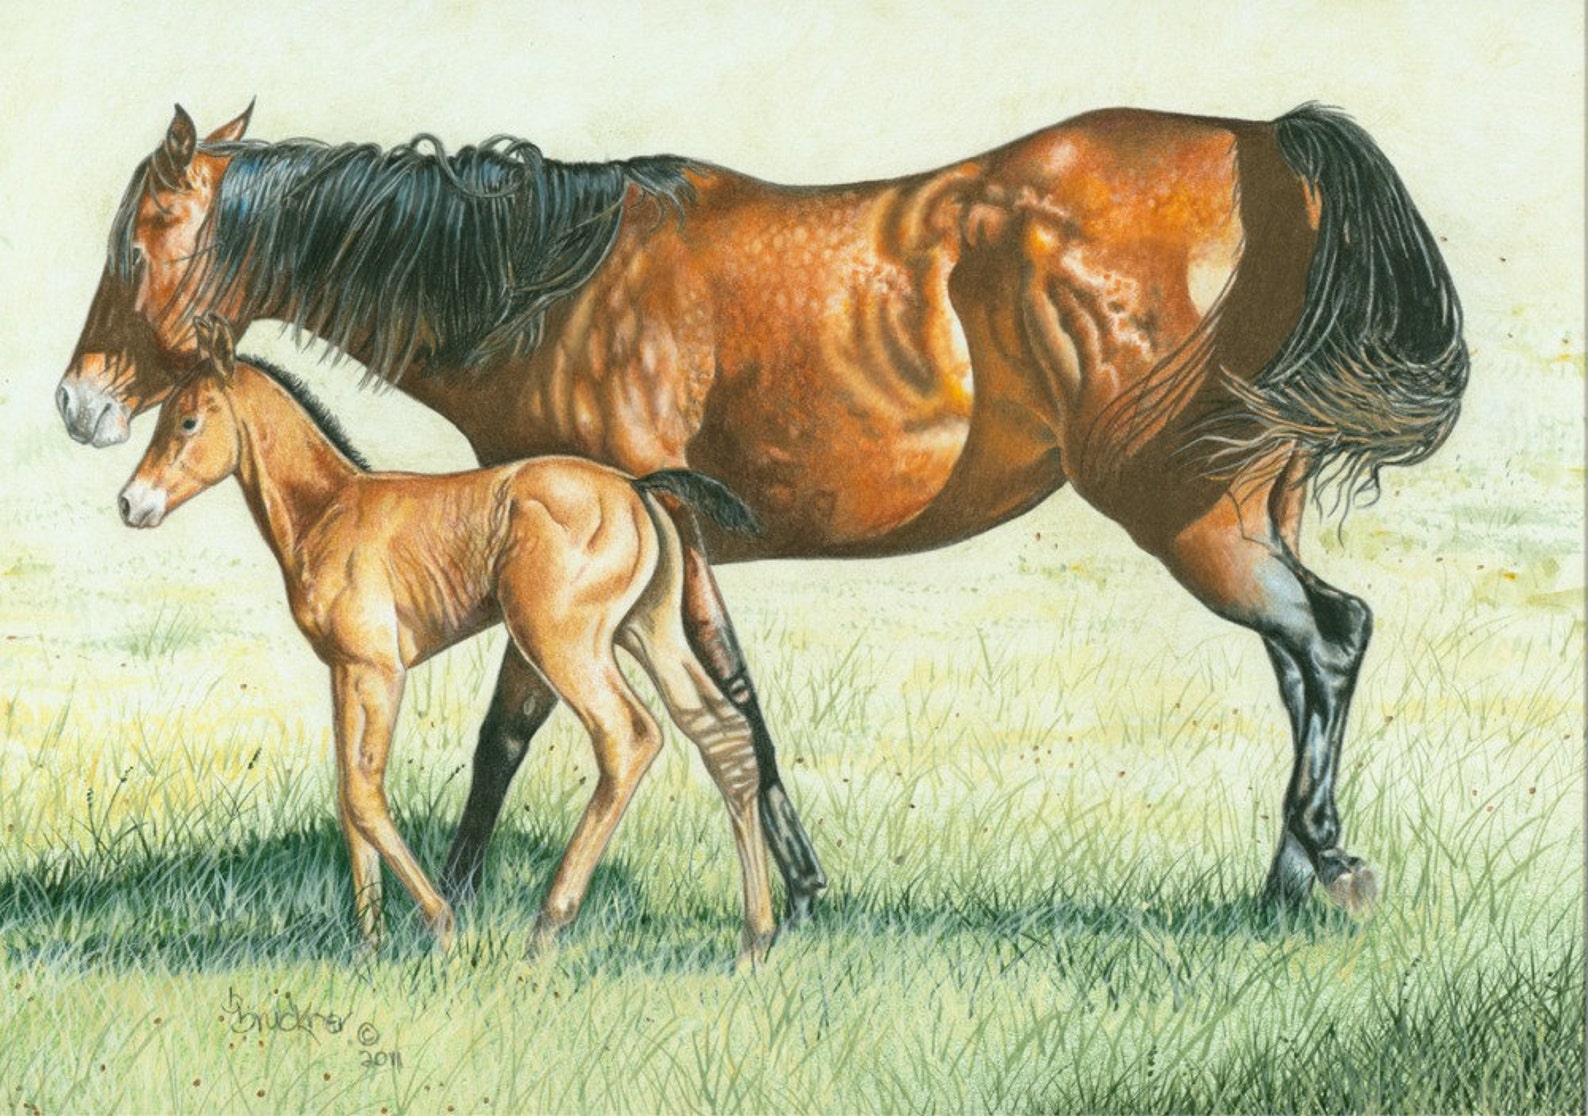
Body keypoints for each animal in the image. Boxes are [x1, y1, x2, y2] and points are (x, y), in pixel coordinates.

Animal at [118, 314, 778, 963]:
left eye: (187, 420)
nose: (130, 504)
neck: (329, 508)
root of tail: (637, 488)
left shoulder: (379, 671)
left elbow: (365, 794)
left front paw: (439, 924)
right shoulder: (342, 672)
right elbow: (347, 793)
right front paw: (370, 945)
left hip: (563, 646)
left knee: (628, 737)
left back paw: (547, 927)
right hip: (649, 630)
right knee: (722, 732)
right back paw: (754, 939)